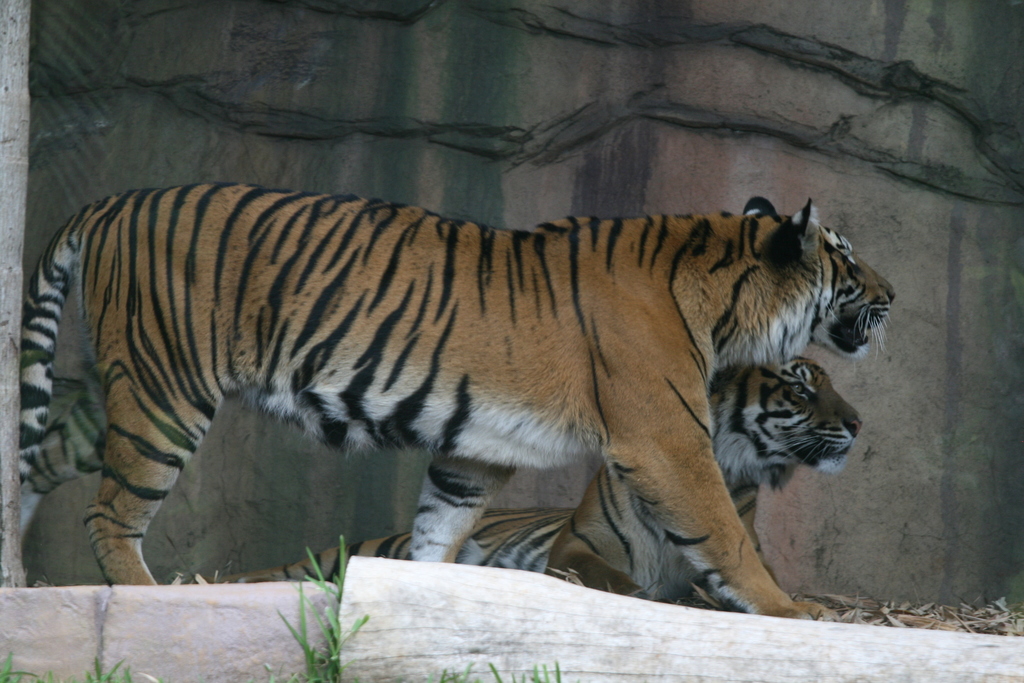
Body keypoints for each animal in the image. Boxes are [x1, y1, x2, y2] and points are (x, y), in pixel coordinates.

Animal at [220, 356, 860, 601]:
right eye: (801, 388)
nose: (858, 422)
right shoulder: (577, 544)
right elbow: (608, 575)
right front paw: (641, 592)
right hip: (369, 550)